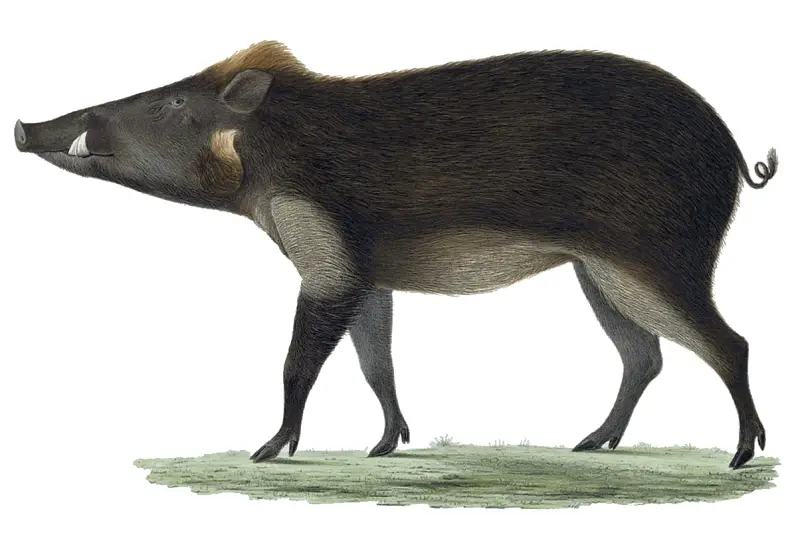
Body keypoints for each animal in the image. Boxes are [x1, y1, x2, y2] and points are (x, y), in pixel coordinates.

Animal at [14, 41, 778, 469]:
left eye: (172, 105)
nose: (22, 126)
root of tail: (737, 154)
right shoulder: (368, 275)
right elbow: (375, 360)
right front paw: (384, 446)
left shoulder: (327, 260)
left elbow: (298, 361)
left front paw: (269, 452)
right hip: (596, 272)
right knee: (645, 356)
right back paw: (589, 444)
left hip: (652, 259)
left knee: (727, 343)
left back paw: (742, 456)